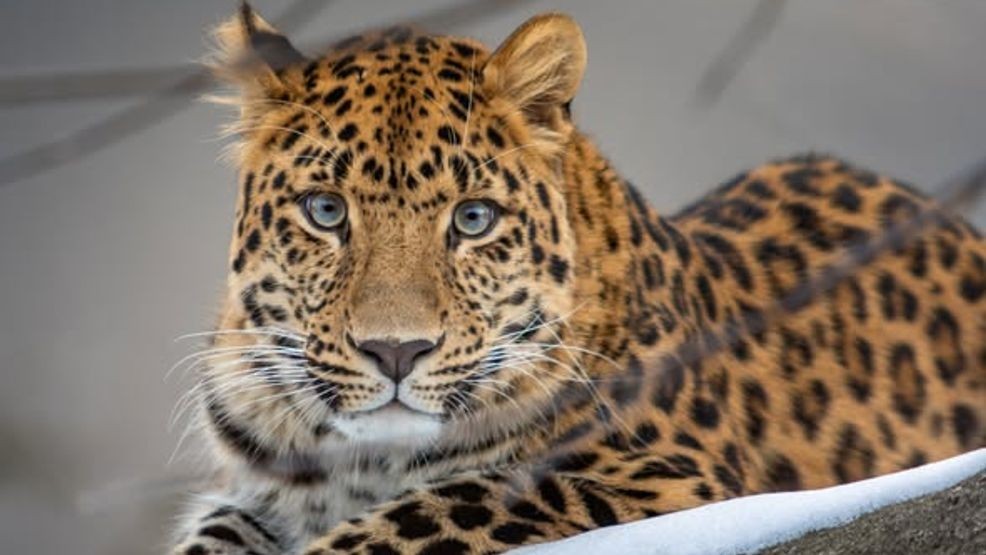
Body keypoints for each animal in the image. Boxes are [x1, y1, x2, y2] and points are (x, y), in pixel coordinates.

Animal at [171, 5, 986, 554]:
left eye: (473, 218)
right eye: (326, 210)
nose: (395, 352)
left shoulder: (669, 481)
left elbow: (444, 505)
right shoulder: (253, 490)